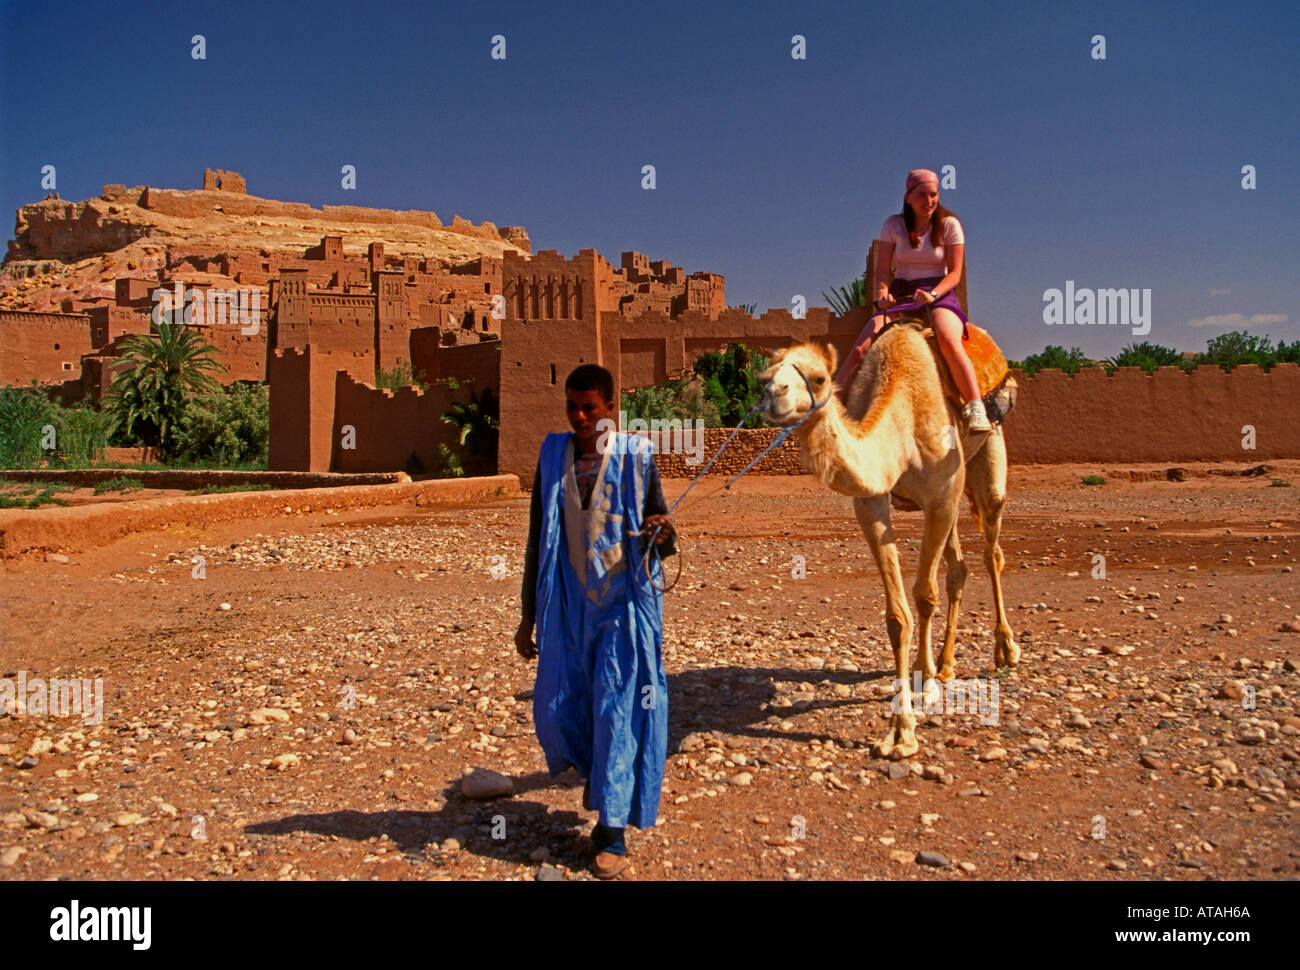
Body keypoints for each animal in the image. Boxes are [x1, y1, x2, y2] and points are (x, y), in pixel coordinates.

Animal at [758, 324, 1019, 758]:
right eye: (765, 373)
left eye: (819, 378)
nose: (770, 392)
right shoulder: (873, 503)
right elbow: (898, 617)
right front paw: (904, 722)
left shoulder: (941, 493)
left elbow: (925, 595)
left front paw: (916, 701)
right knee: (958, 568)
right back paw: (945, 664)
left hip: (988, 455)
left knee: (992, 552)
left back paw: (1005, 650)